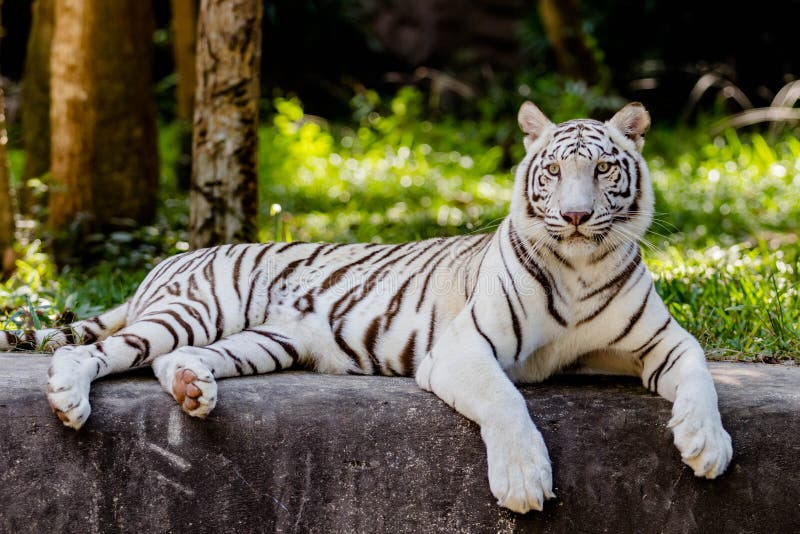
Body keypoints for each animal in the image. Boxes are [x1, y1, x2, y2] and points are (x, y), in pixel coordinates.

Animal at [0, 101, 732, 514]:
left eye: (603, 169)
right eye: (553, 171)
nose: (577, 217)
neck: (580, 267)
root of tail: (170, 260)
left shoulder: (659, 339)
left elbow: (700, 373)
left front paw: (706, 443)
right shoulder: (465, 347)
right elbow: (507, 402)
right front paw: (524, 479)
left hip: (264, 341)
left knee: (171, 360)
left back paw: (192, 388)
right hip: (197, 309)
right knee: (93, 351)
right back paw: (70, 397)